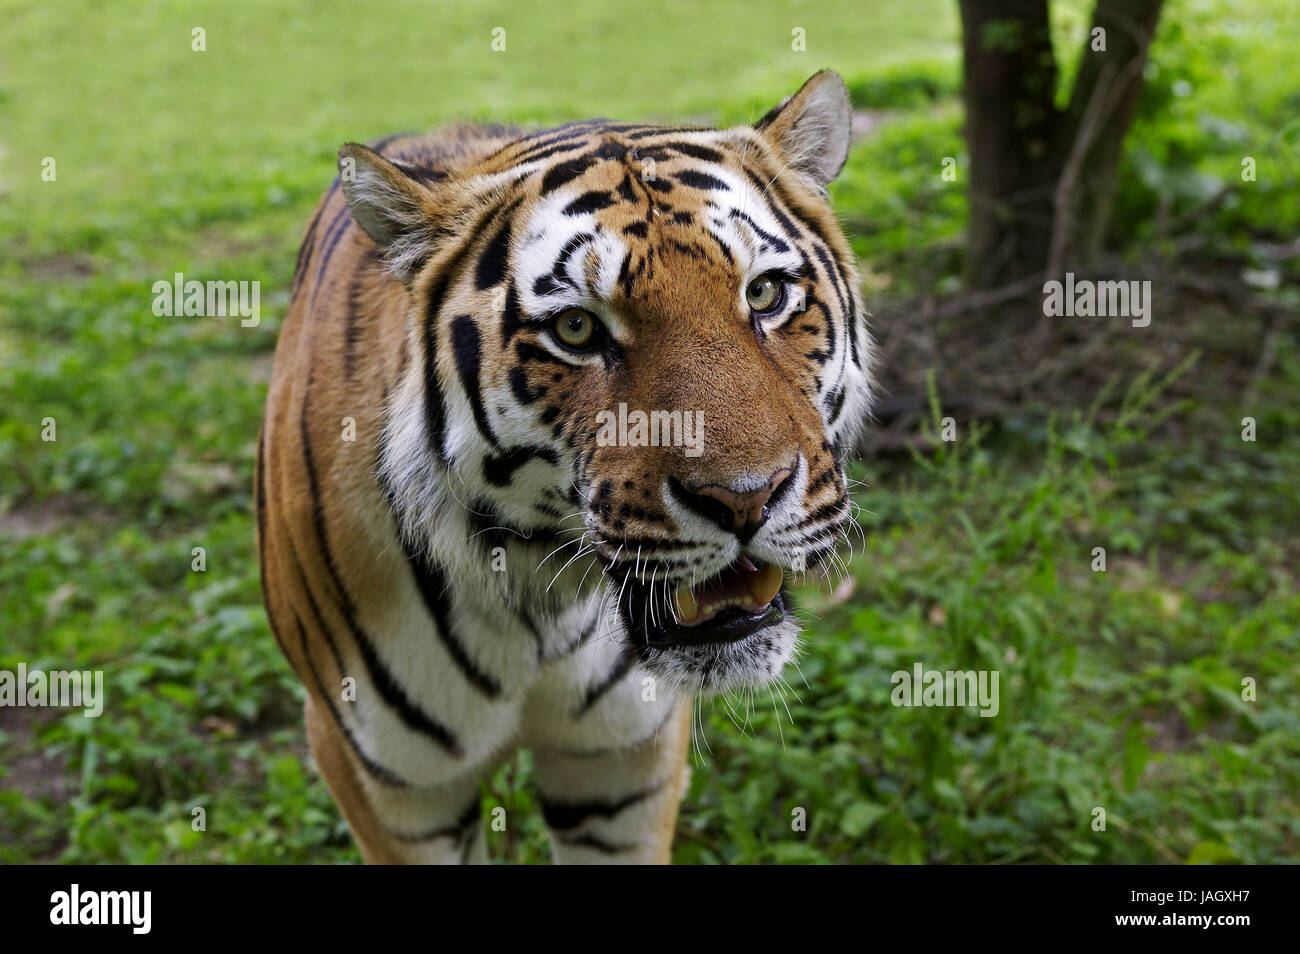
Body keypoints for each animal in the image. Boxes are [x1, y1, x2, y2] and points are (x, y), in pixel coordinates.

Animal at [256, 70, 876, 864]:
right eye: (577, 329)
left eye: (764, 293)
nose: (745, 499)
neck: (535, 591)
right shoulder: (393, 789)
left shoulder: (620, 767)